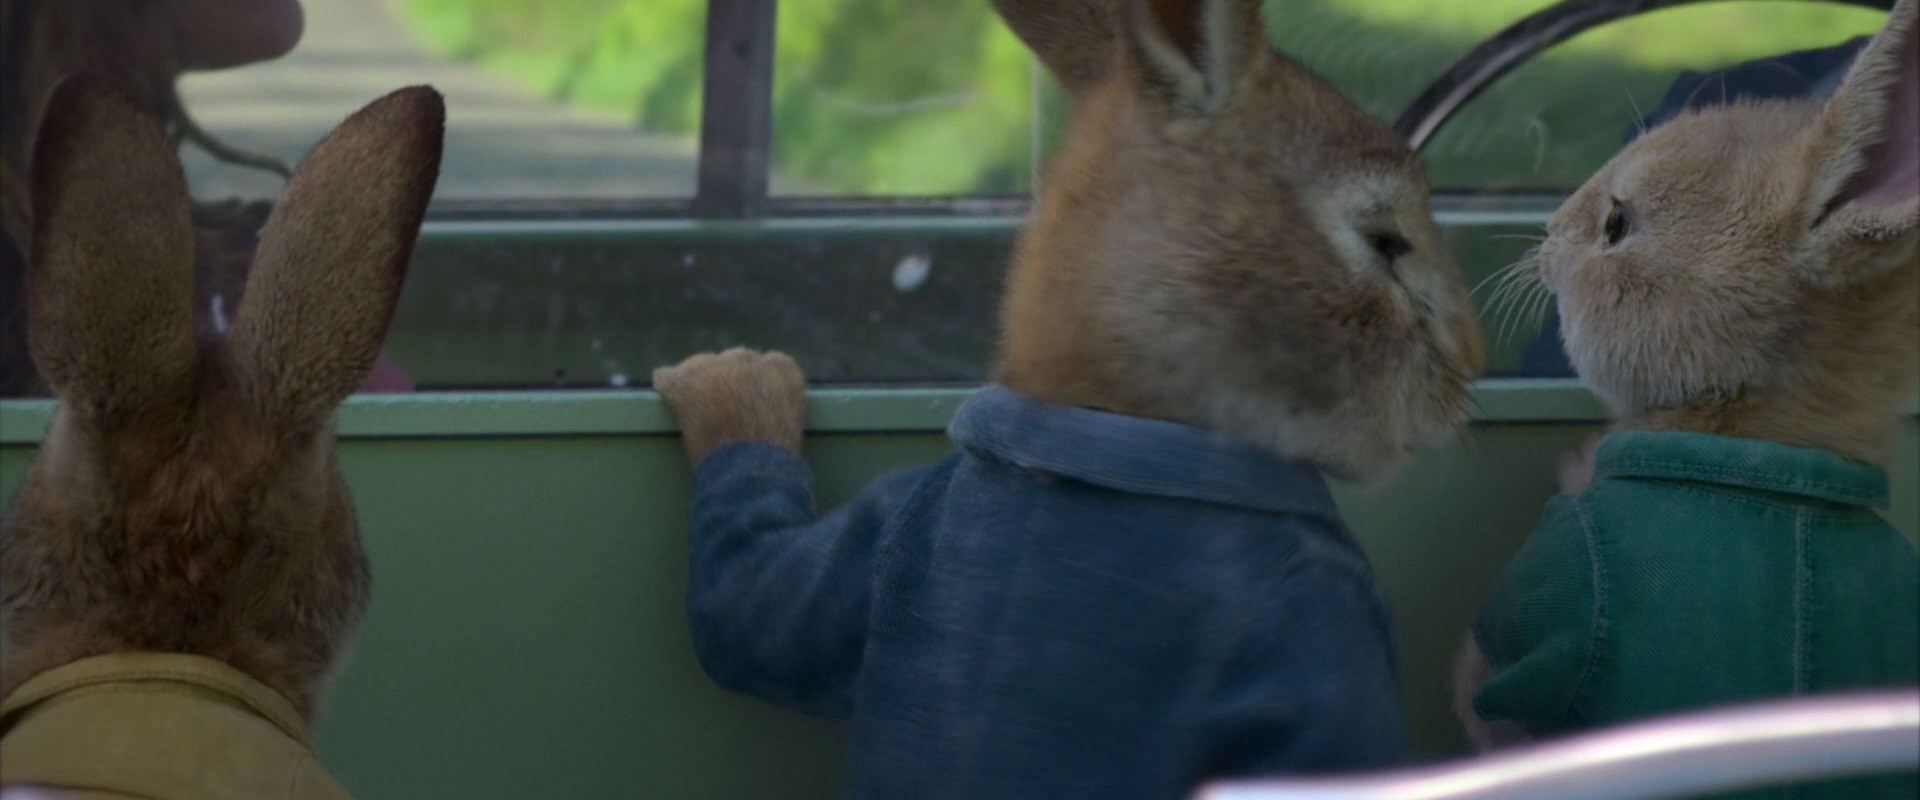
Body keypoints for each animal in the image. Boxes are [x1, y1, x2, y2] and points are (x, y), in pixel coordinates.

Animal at [651, 0, 1484, 796]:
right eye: (1385, 241)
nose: (1467, 369)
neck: (1103, 411)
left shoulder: (889, 522)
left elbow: (751, 601)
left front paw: (730, 385)